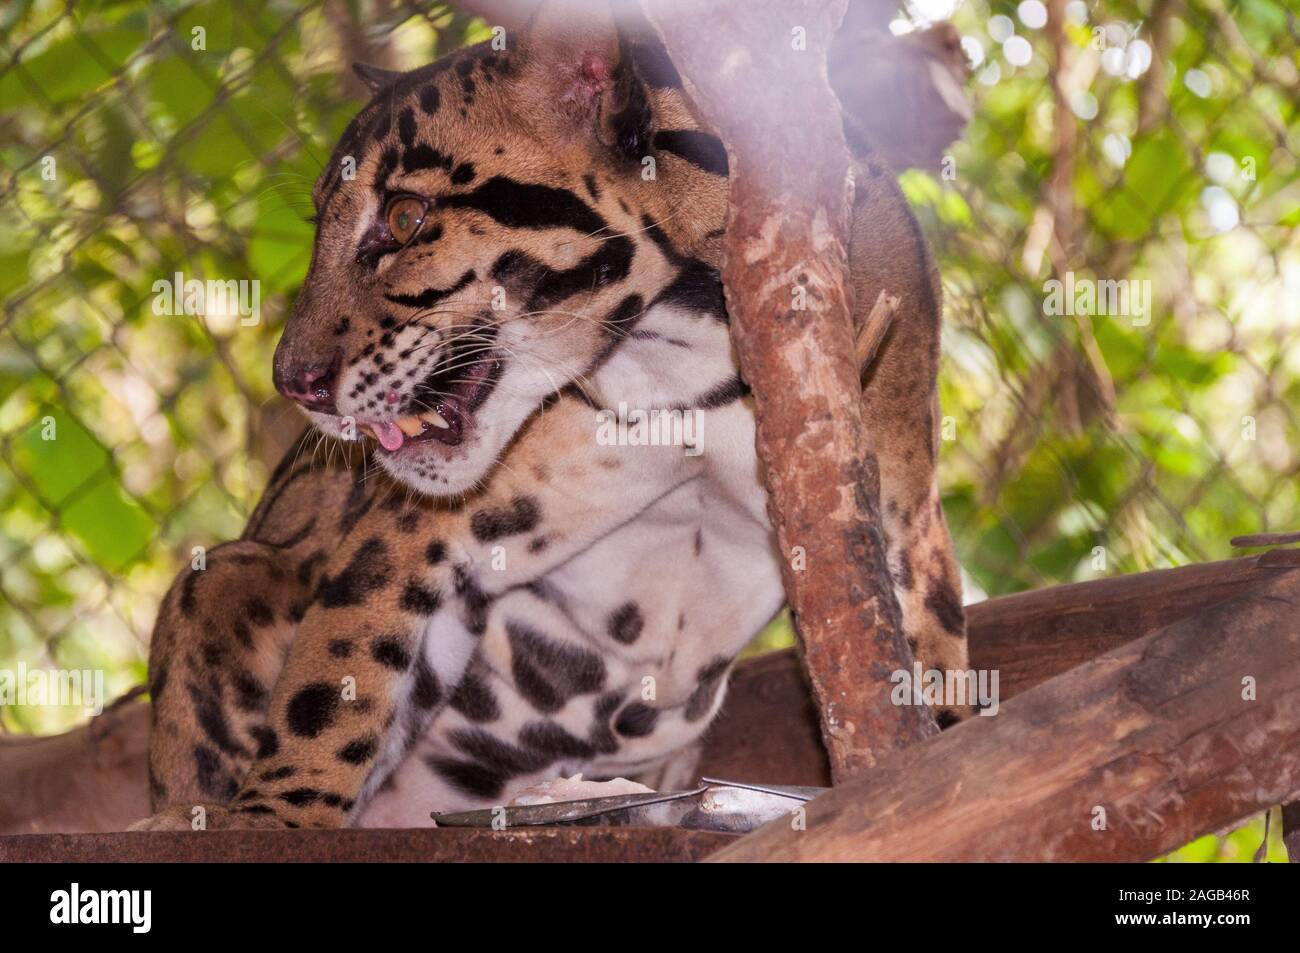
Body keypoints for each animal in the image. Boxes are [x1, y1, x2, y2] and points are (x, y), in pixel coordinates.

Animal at [132, 0, 968, 831]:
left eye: (403, 218)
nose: (293, 381)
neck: (685, 342)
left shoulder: (902, 512)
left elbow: (933, 659)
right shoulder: (420, 530)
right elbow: (336, 678)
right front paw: (275, 819)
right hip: (226, 572)